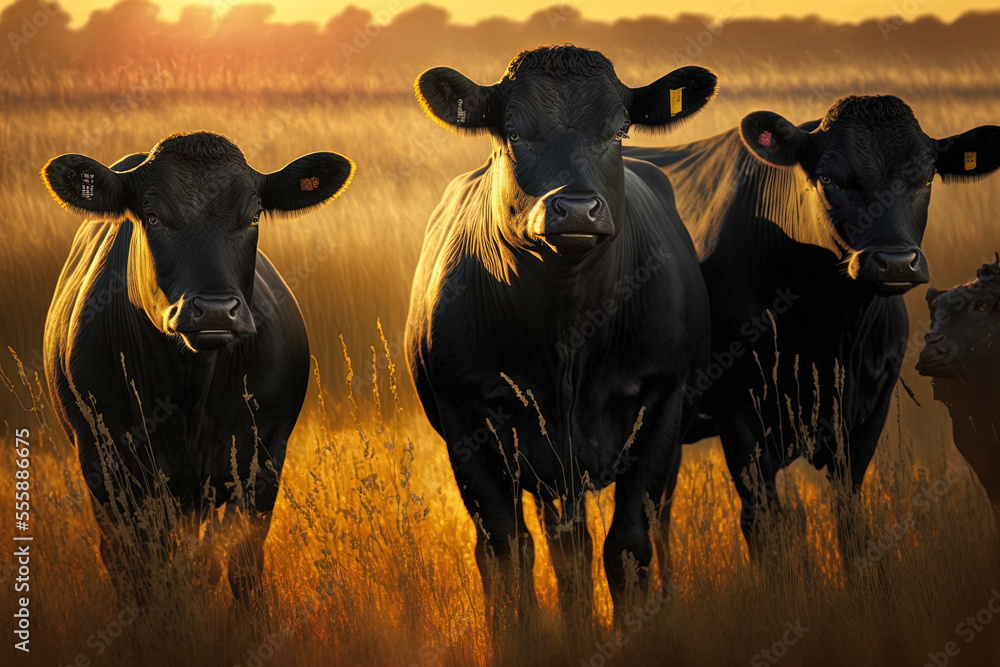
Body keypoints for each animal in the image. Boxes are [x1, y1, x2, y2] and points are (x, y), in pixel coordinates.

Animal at [41, 131, 354, 607]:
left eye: (254, 215)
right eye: (151, 216)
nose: (216, 310)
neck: (190, 393)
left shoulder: (263, 460)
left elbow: (241, 563)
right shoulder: (111, 468)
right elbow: (145, 572)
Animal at [406, 45, 716, 626]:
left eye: (620, 129)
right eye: (512, 131)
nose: (574, 208)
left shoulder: (663, 401)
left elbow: (629, 545)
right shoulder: (465, 418)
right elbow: (505, 547)